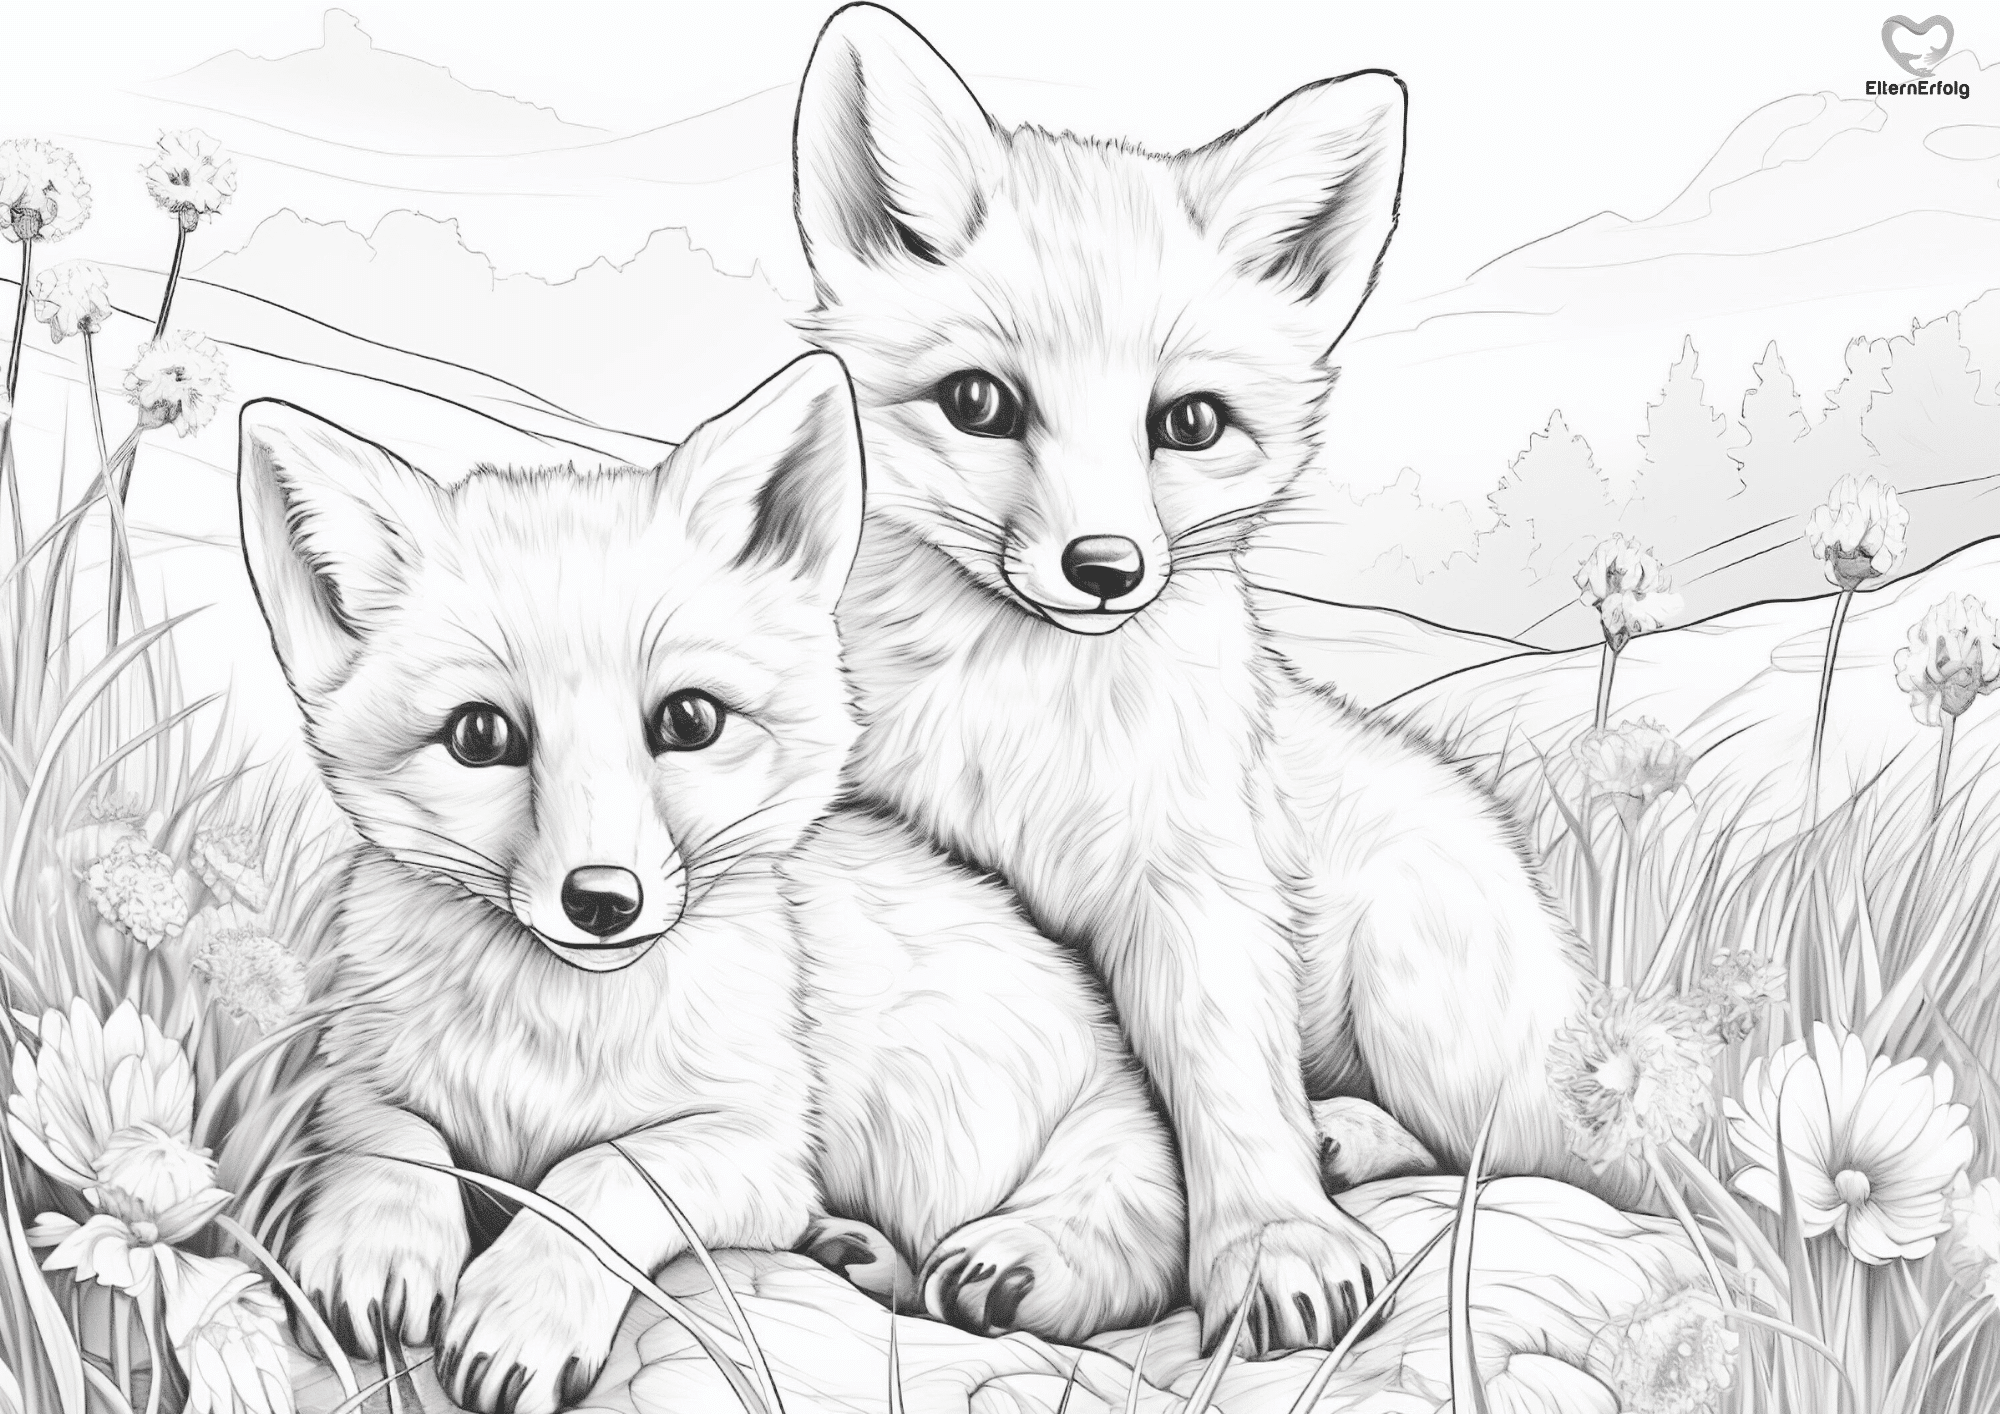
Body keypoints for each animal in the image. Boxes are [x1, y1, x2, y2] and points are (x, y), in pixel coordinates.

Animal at [238, 354, 1184, 1414]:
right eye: (480, 736)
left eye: (689, 720)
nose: (601, 901)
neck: (554, 1045)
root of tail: (1105, 1032)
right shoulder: (359, 1063)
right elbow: (382, 1136)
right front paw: (375, 1244)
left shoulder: (758, 1141)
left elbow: (605, 1172)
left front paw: (527, 1310)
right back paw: (853, 1250)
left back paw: (1000, 1258)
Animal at [790, 3, 1642, 1357]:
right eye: (979, 401)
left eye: (1186, 423)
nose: (1102, 568)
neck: (1020, 738)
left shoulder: (1192, 881)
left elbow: (1222, 1085)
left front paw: (1272, 1248)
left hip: (1421, 1005)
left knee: (1533, 1155)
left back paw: (1341, 1142)